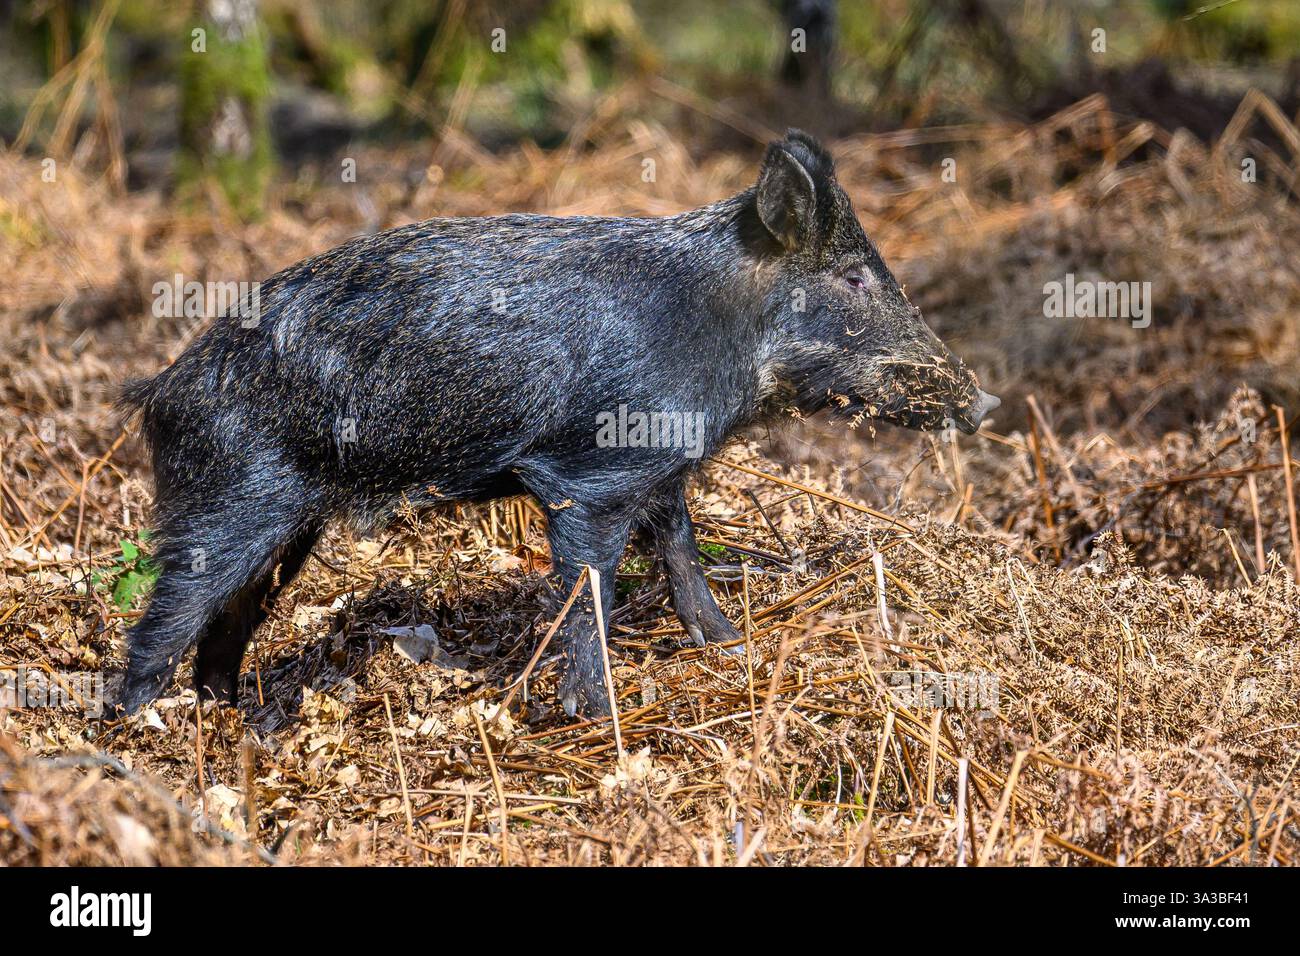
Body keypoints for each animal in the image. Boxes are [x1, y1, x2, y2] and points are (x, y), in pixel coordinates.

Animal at [116, 130, 998, 719]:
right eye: (853, 278)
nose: (984, 402)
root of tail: (161, 387)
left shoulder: (659, 470)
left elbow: (681, 550)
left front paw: (726, 644)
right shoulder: (589, 474)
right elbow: (588, 590)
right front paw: (597, 713)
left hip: (286, 526)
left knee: (228, 621)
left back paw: (231, 718)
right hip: (232, 498)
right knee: (164, 618)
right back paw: (139, 731)